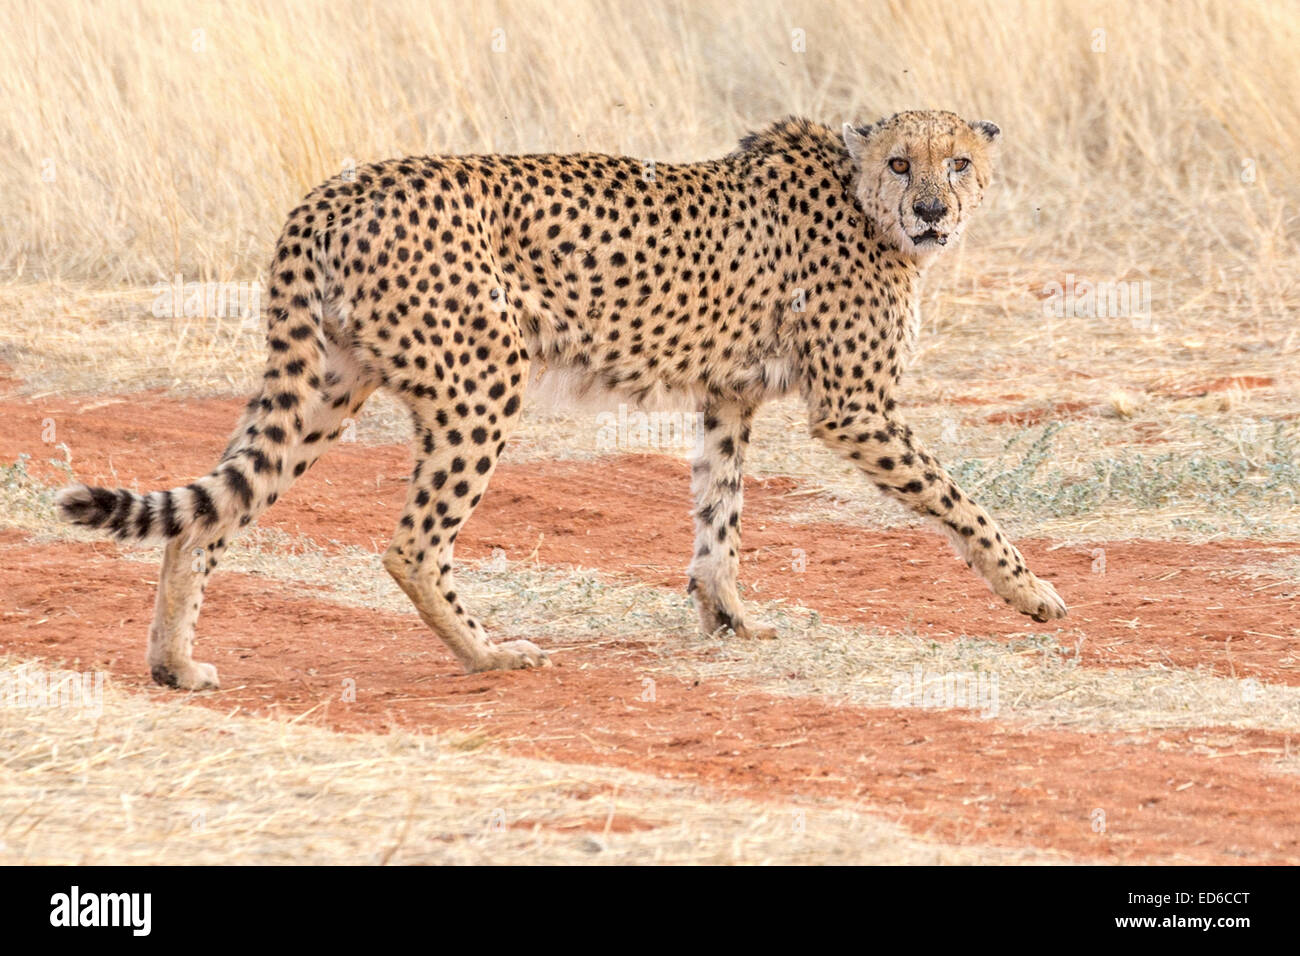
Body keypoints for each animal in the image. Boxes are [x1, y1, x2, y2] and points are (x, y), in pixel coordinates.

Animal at [56, 109, 1067, 690]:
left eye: (957, 164)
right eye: (901, 164)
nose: (932, 210)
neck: (859, 200)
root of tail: (336, 188)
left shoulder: (728, 397)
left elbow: (719, 514)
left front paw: (729, 616)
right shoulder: (855, 408)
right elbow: (963, 503)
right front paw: (1033, 592)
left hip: (326, 386)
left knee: (210, 511)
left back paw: (174, 663)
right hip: (481, 379)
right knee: (411, 545)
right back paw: (490, 654)